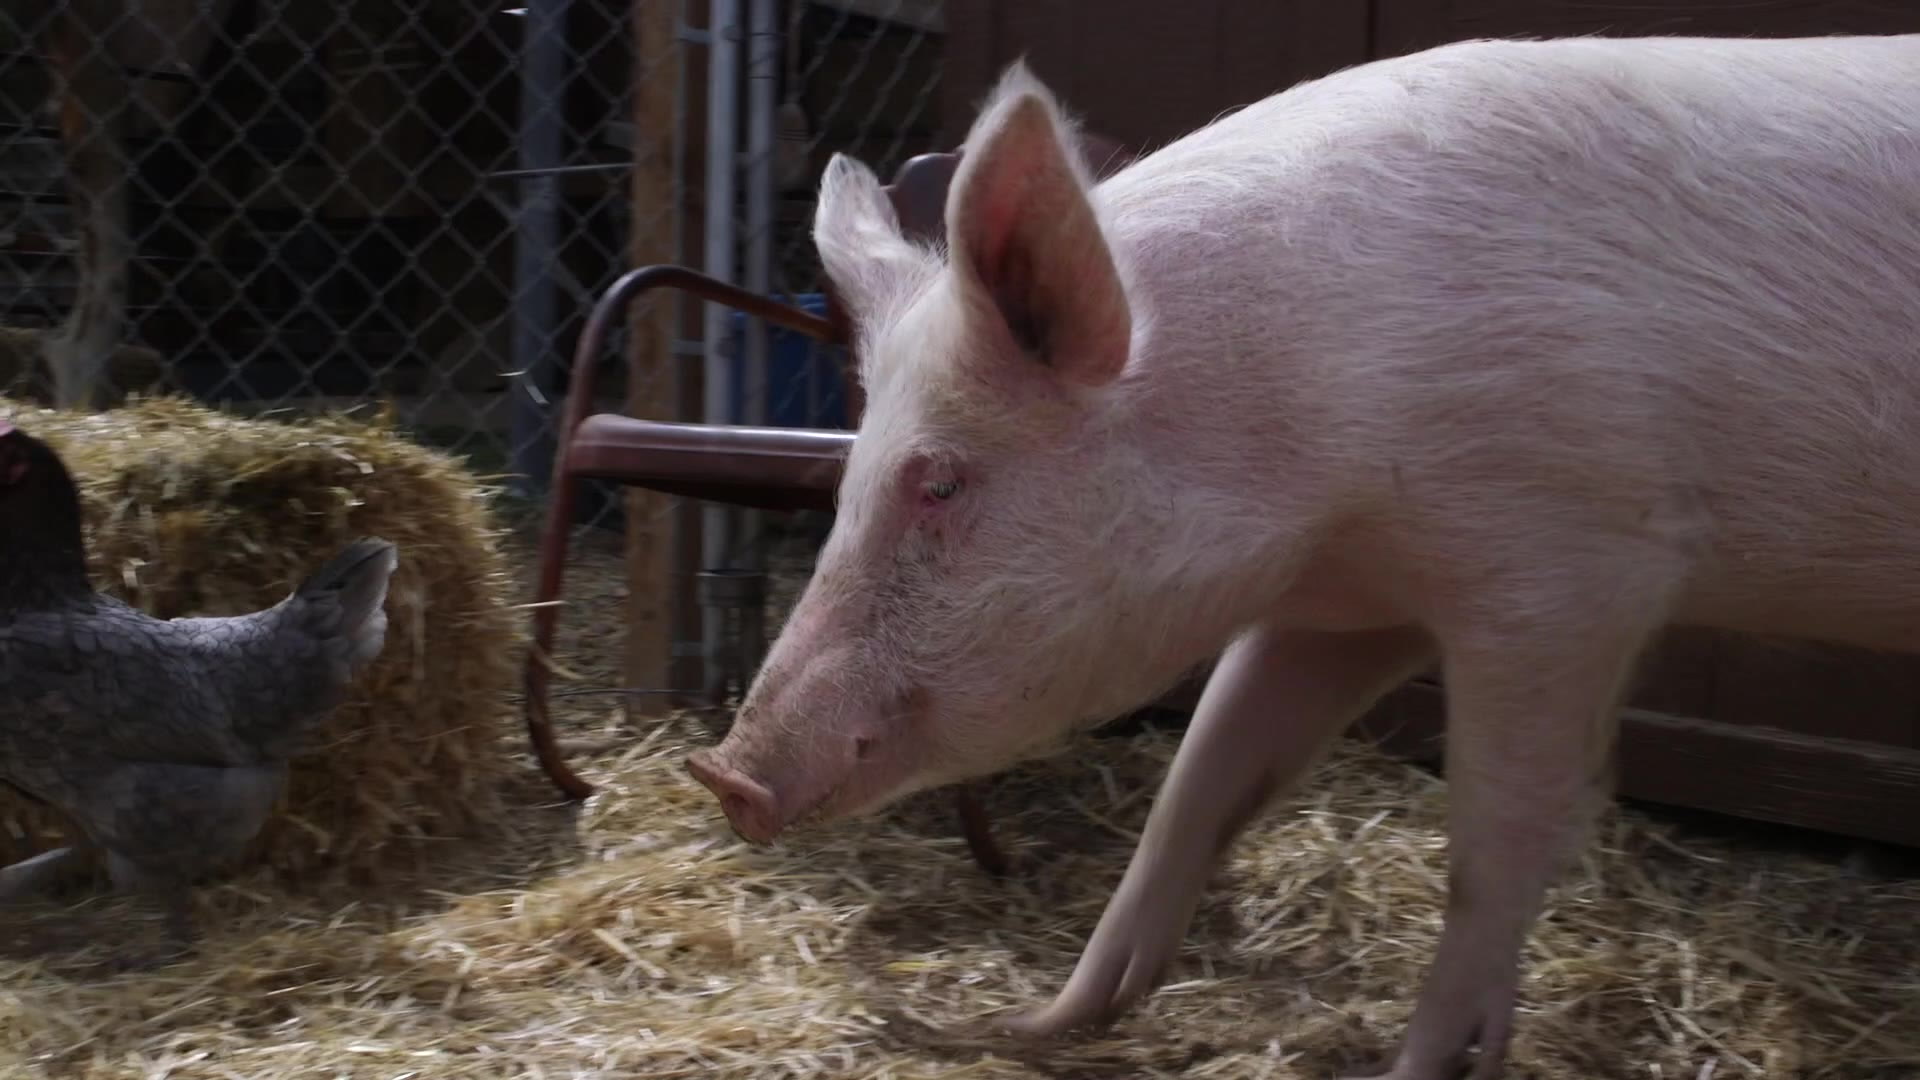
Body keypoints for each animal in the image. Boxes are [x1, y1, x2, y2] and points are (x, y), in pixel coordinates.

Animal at [685, 32, 1920, 1080]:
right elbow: (1202, 780)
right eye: (847, 478)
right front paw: (1033, 1024)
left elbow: (1493, 843)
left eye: (939, 481)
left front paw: (1425, 1068)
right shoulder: (1345, 607)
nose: (726, 773)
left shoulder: (1574, 567)